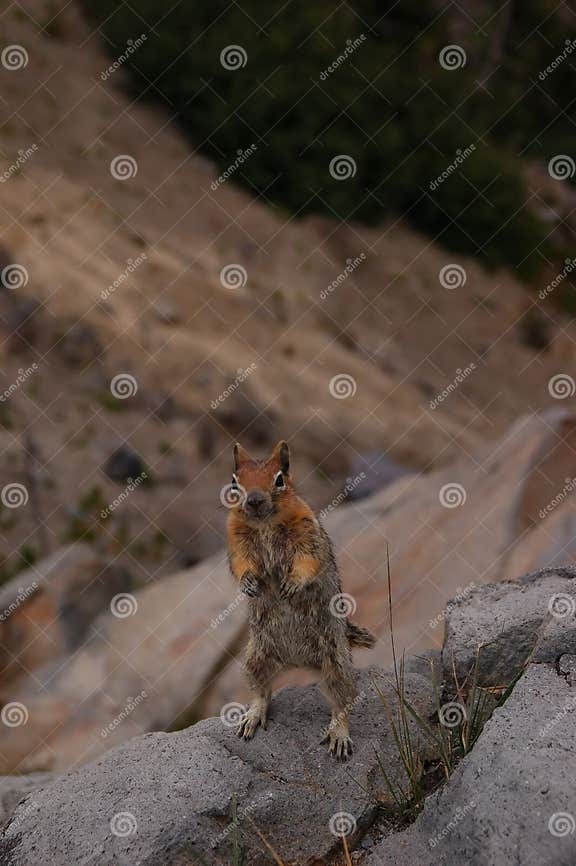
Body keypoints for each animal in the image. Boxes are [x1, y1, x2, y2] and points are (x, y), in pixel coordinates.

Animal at [226, 439, 376, 760]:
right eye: (234, 482)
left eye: (279, 479)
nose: (253, 500)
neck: (264, 524)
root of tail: (297, 662)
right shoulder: (236, 538)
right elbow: (242, 563)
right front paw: (248, 584)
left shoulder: (306, 531)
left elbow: (307, 560)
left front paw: (292, 584)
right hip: (256, 657)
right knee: (262, 691)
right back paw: (252, 716)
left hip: (336, 662)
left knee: (343, 700)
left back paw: (339, 735)